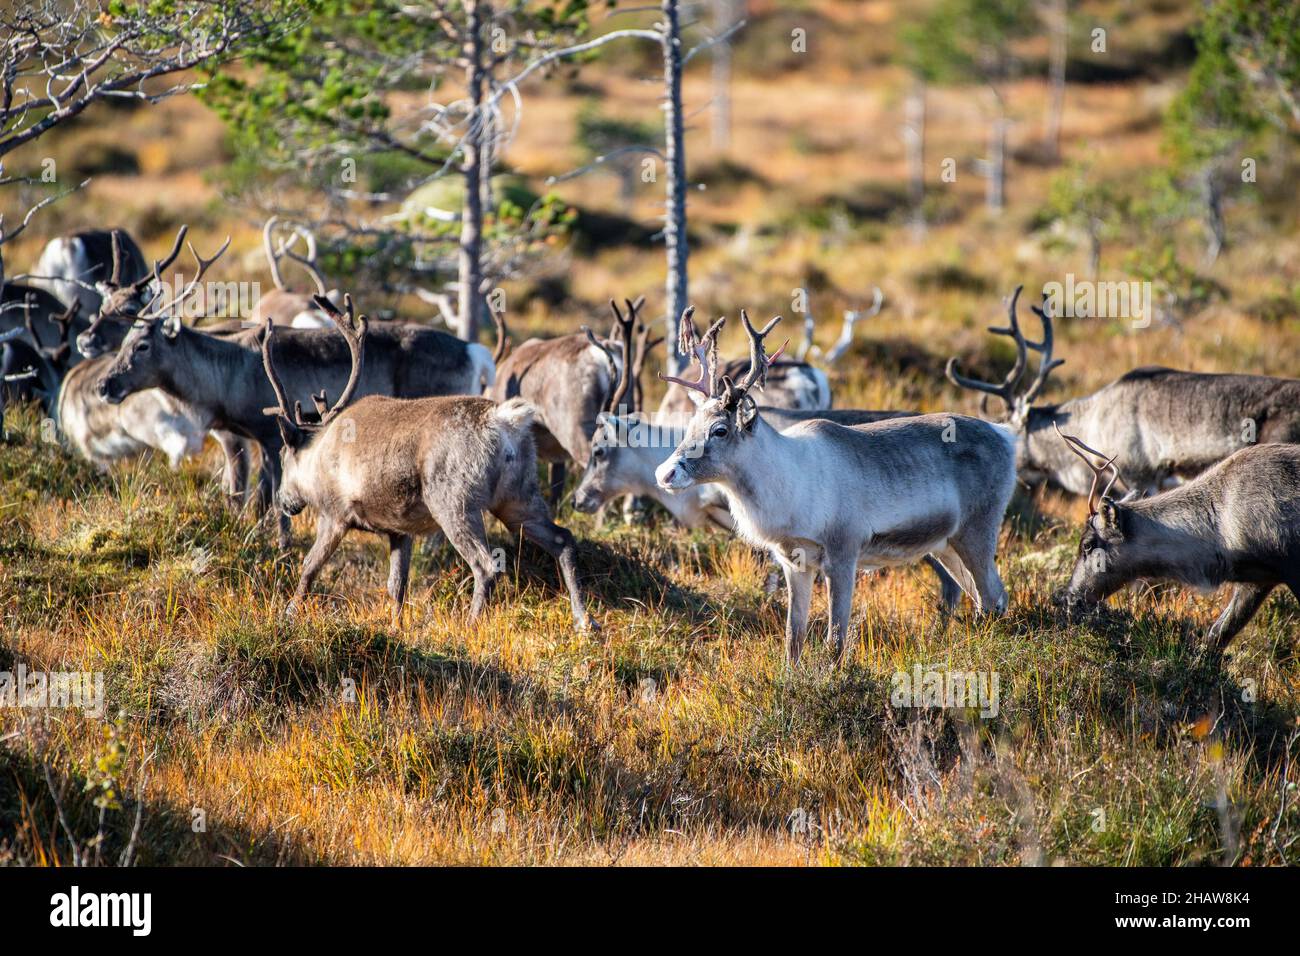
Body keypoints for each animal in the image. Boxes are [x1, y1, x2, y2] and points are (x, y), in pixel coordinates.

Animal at [260, 308, 593, 630]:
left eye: (283, 454)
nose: (284, 501)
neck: (318, 453)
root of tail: (504, 420)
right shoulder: (399, 530)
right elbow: (397, 585)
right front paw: (396, 627)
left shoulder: (335, 515)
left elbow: (309, 568)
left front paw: (289, 613)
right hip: (517, 498)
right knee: (563, 539)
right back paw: (585, 621)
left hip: (455, 504)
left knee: (486, 565)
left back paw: (470, 626)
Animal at [655, 308, 1017, 664]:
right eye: (691, 424)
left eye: (719, 430)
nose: (665, 473)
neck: (788, 485)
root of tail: (1004, 434)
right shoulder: (794, 563)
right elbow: (793, 637)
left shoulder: (843, 554)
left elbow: (835, 641)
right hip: (946, 544)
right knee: (987, 595)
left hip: (977, 528)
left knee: (992, 596)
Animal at [1054, 427, 1300, 655]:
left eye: (1087, 545)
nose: (1069, 599)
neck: (1221, 530)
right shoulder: (1259, 578)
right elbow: (1218, 633)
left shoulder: (1288, 566)